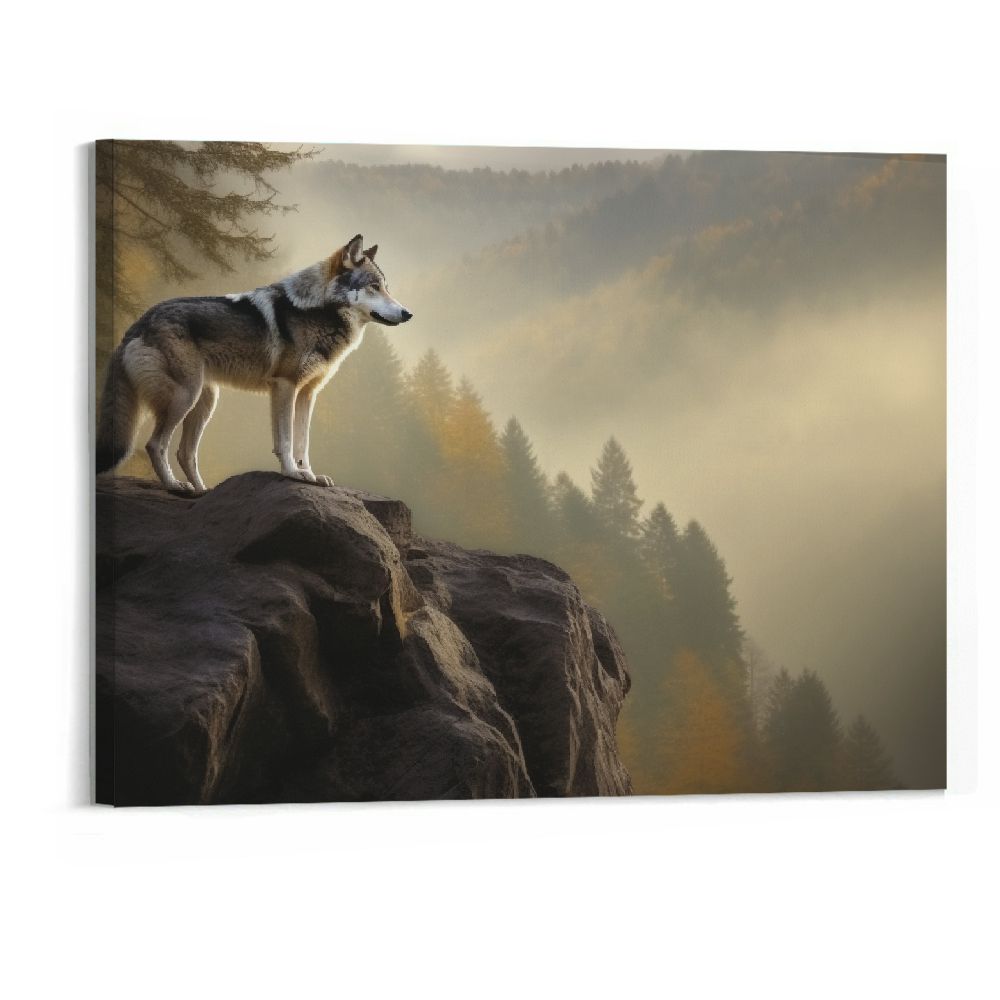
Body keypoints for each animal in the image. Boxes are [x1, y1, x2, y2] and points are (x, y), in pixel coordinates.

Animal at [96, 234, 412, 492]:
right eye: (374, 287)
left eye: (386, 287)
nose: (408, 314)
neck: (316, 312)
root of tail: (137, 324)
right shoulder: (285, 386)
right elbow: (285, 440)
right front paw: (292, 473)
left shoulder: (308, 393)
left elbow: (303, 442)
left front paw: (310, 475)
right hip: (185, 397)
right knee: (155, 445)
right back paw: (175, 486)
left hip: (205, 401)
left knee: (185, 453)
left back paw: (202, 492)